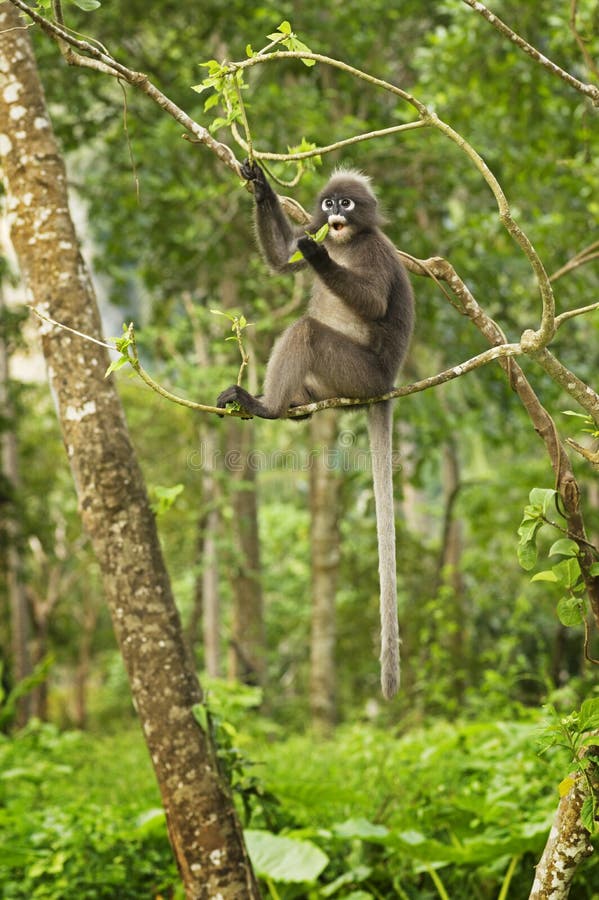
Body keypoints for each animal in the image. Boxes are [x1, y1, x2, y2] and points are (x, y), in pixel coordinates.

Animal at [216, 160, 414, 699]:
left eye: (346, 204)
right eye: (328, 204)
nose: (333, 214)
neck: (349, 241)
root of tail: (386, 384)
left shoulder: (373, 250)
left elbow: (372, 302)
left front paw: (318, 253)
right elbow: (282, 259)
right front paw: (260, 185)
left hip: (354, 373)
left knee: (304, 331)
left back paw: (264, 407)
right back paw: (294, 406)